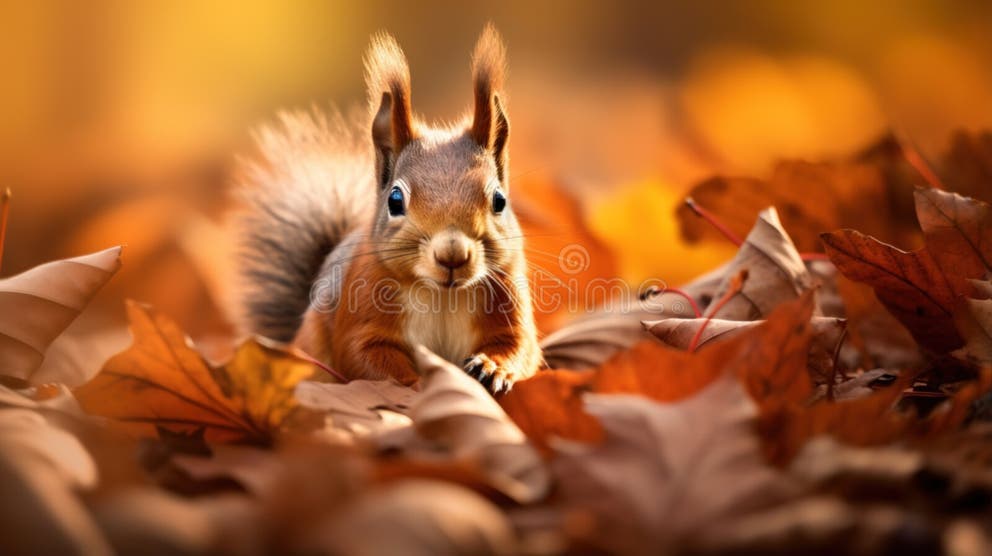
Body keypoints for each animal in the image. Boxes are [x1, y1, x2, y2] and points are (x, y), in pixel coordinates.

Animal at [232, 25, 541, 394]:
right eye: (395, 200)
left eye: (499, 200)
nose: (452, 255)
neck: (442, 295)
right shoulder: (362, 305)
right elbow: (364, 354)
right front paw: (419, 385)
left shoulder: (507, 294)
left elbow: (519, 345)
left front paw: (492, 367)